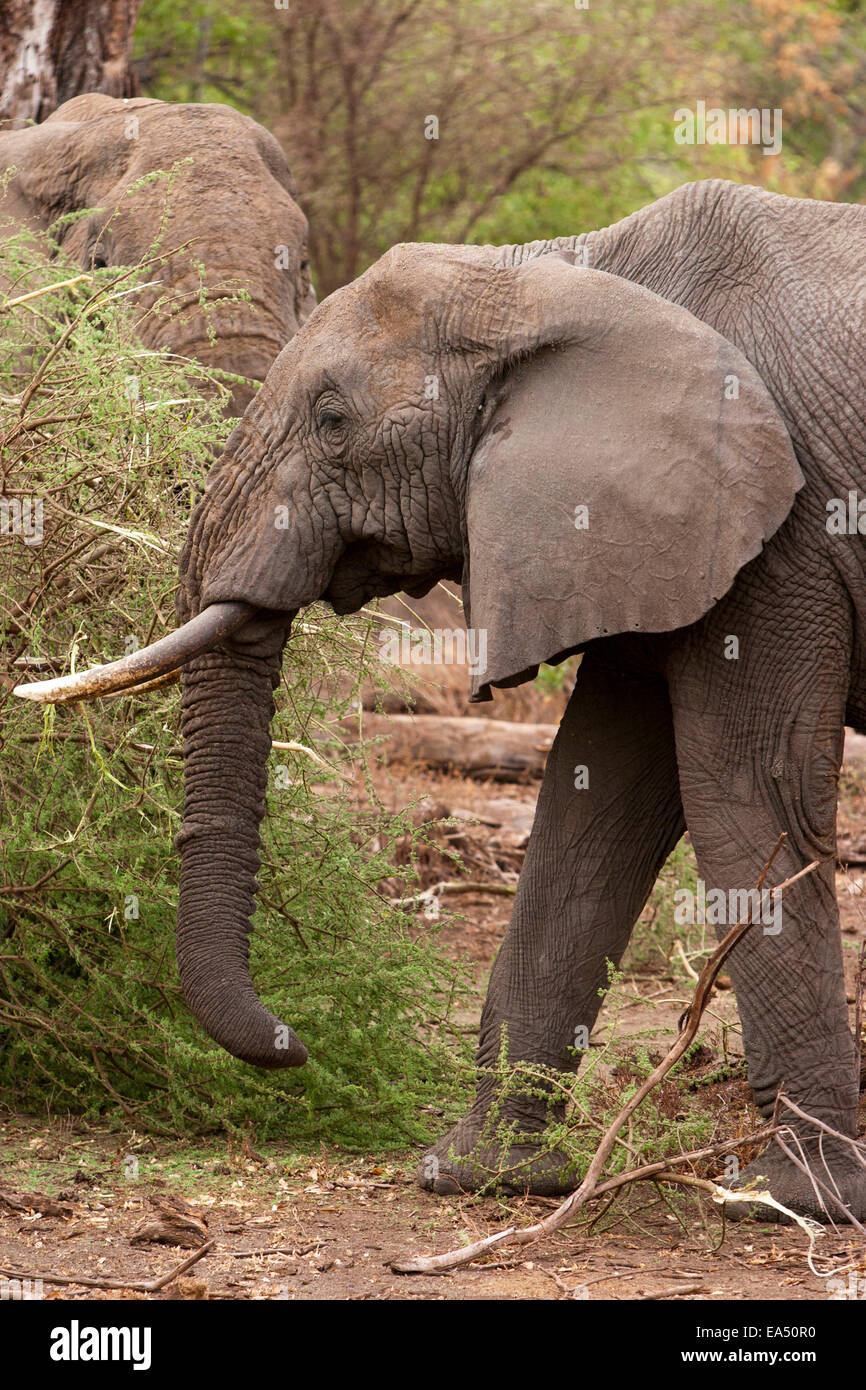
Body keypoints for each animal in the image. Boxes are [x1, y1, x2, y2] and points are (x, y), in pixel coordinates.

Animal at [17, 177, 866, 1222]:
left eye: (333, 422)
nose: (298, 1046)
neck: (553, 276)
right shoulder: (635, 529)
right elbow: (599, 801)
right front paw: (481, 1176)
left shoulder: (782, 533)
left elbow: (743, 797)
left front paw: (794, 1200)